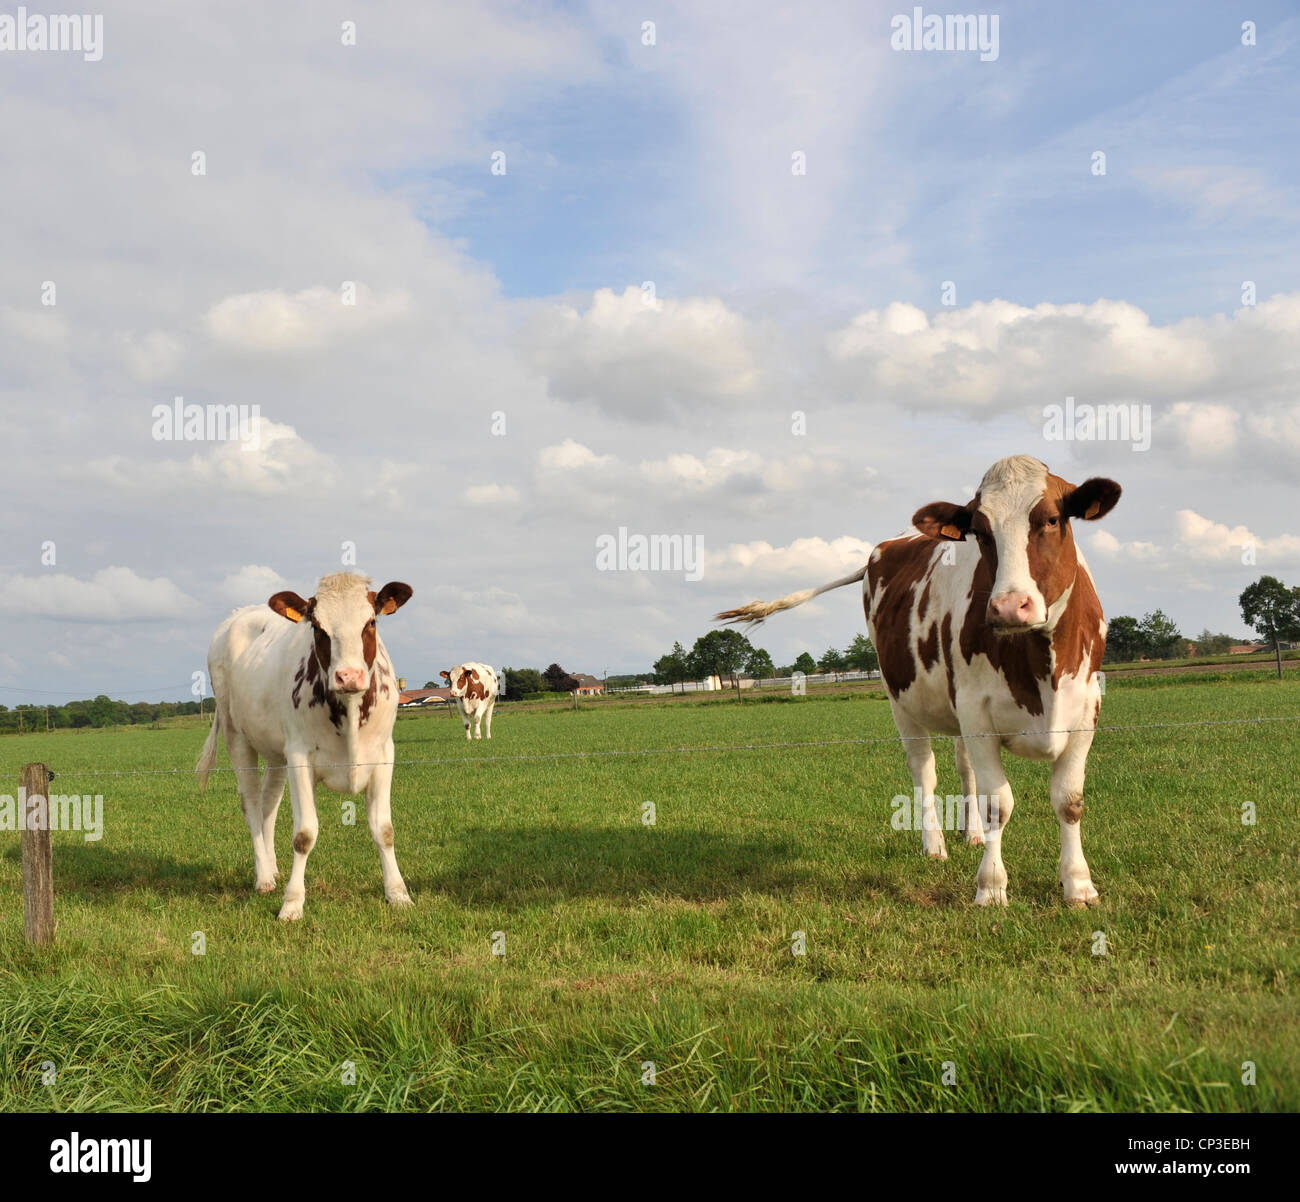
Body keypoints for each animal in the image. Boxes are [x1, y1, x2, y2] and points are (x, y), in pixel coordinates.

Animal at [196, 572, 414, 921]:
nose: (348, 676)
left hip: (276, 752)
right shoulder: (299, 756)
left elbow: (384, 829)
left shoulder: (383, 754)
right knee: (251, 804)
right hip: (237, 736)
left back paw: (272, 869)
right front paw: (292, 903)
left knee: (268, 804)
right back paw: (263, 877)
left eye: (370, 622)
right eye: (318, 627)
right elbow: (304, 835)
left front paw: (397, 893)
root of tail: (241, 612)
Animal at [716, 455, 1120, 908]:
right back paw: (935, 846)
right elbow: (998, 803)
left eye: (1051, 519)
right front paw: (991, 886)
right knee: (925, 772)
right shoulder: (977, 714)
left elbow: (1069, 800)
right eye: (980, 531)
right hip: (901, 702)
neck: (1040, 665)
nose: (1008, 607)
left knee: (964, 768)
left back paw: (971, 834)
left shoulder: (1086, 709)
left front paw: (1078, 885)